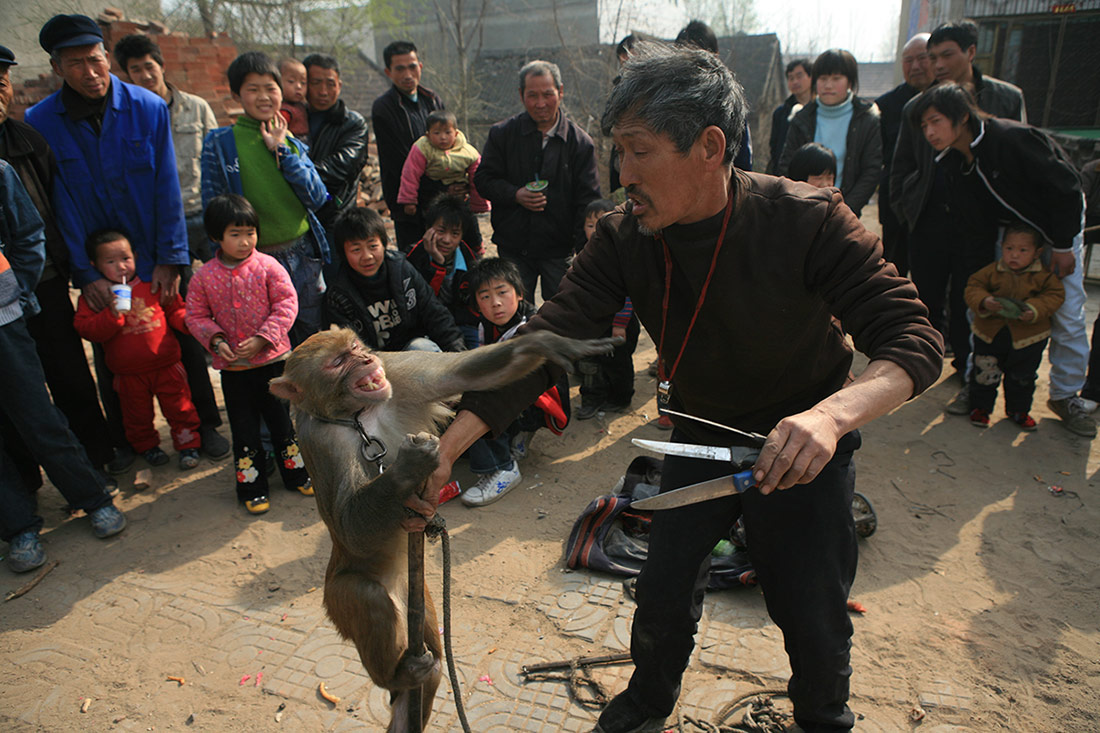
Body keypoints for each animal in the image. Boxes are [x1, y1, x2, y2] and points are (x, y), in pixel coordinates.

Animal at [269, 327, 617, 732]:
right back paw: (395, 676)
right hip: (339, 595)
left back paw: (409, 686)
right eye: (338, 362)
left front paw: (545, 343)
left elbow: (459, 376)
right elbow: (349, 526)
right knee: (364, 594)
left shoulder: (395, 375)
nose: (367, 360)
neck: (356, 416)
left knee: (432, 662)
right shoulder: (320, 440)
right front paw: (409, 466)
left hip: (417, 595)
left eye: (356, 348)